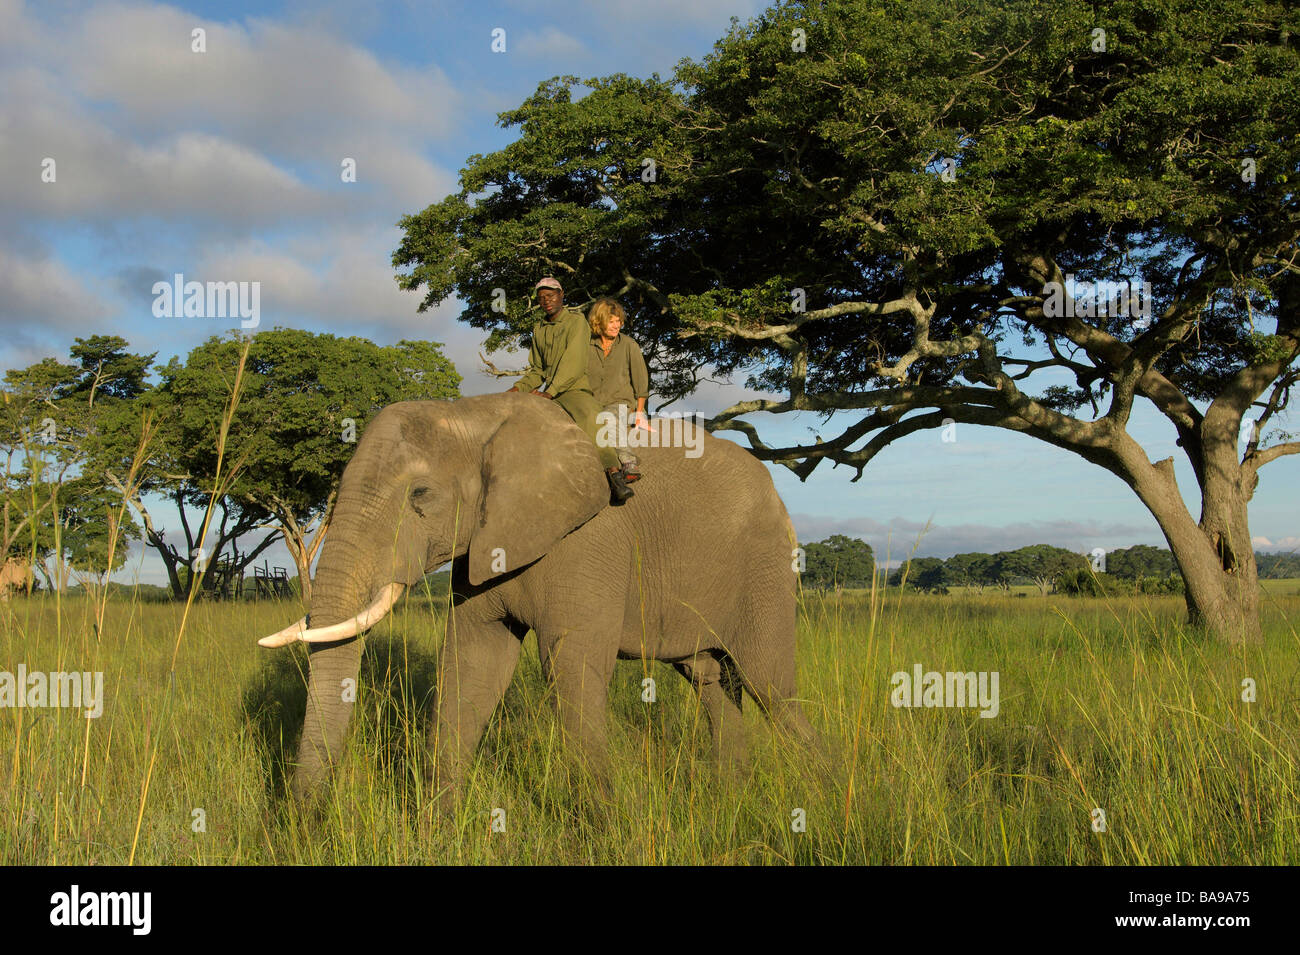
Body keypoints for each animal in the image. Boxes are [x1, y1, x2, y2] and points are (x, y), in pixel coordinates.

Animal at [257, 392, 818, 805]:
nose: (306, 822)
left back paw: (823, 795)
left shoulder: (587, 541)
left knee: (770, 685)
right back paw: (733, 799)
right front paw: (439, 828)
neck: (476, 411)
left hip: (766, 568)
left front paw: (606, 830)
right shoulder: (481, 547)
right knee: (710, 680)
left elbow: (569, 665)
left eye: (420, 495)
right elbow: (473, 662)